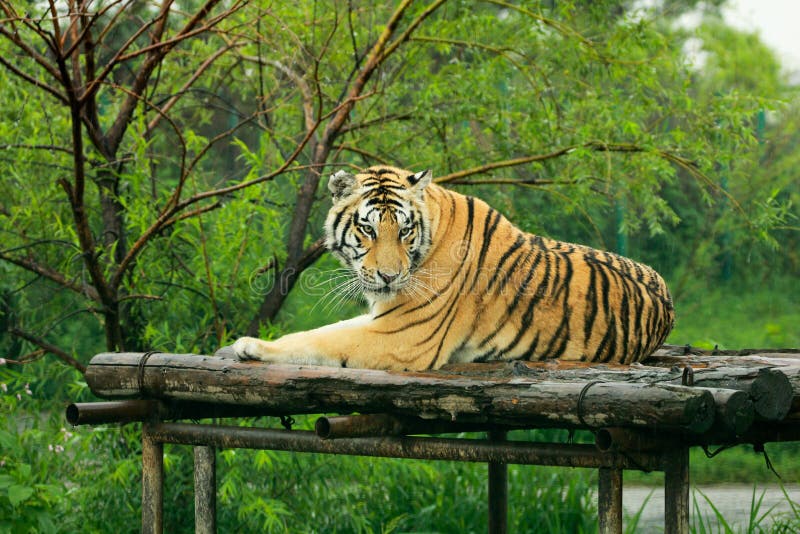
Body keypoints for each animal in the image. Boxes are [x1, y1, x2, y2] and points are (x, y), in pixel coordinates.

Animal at [233, 165, 674, 370]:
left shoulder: (401, 336)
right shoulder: (385, 320)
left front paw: (250, 345)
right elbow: (322, 332)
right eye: (368, 229)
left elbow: (319, 340)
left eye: (405, 230)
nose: (390, 277)